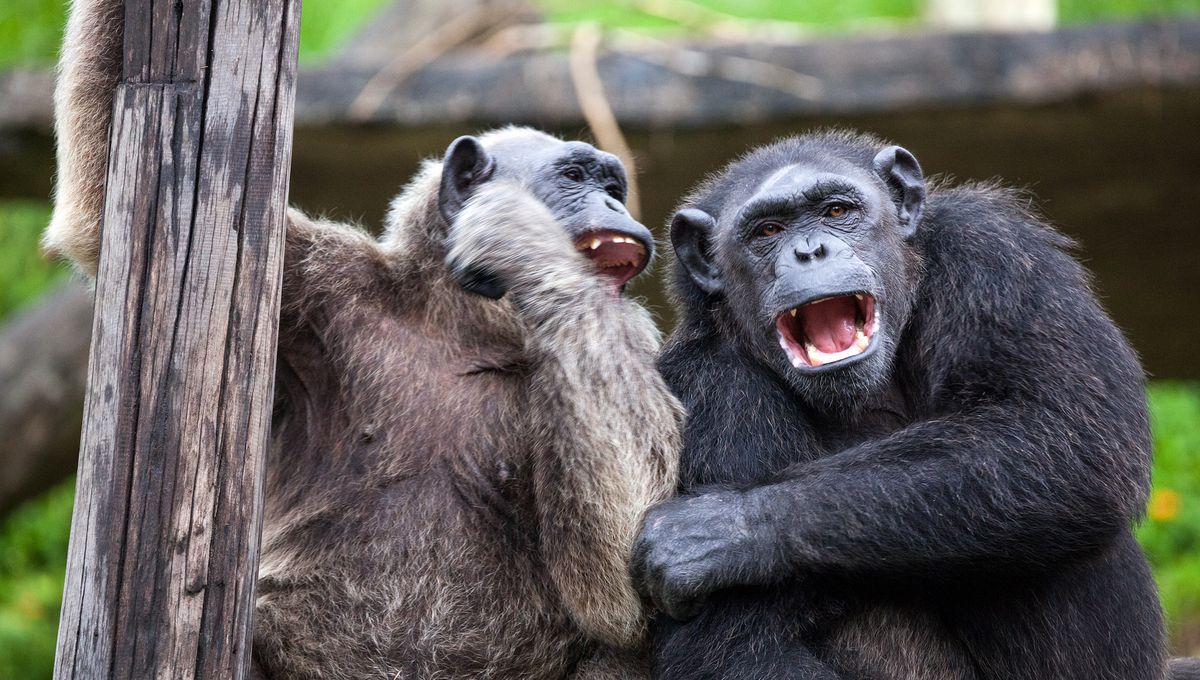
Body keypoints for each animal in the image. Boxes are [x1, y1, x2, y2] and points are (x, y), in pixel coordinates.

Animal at [44, 0, 682, 677]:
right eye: (576, 176)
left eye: (612, 186)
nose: (618, 208)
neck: (460, 326)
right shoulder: (312, 284)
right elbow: (108, 203)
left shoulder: (636, 346)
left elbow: (624, 579)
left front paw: (520, 238)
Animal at [630, 129, 1175, 679]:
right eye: (767, 230)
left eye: (836, 210)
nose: (810, 251)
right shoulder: (714, 390)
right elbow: (736, 646)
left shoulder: (999, 257)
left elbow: (1066, 429)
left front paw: (721, 530)